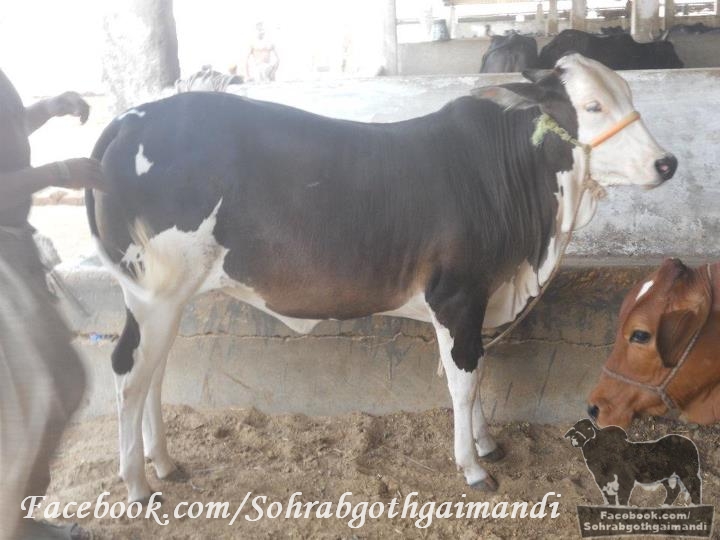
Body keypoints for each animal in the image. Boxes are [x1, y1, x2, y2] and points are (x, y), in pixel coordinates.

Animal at [86, 54, 677, 503]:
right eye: (592, 105)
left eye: (627, 92)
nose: (667, 163)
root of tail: (133, 115)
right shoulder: (456, 295)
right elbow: (464, 381)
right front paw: (473, 466)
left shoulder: (478, 300)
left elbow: (480, 372)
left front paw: (486, 443)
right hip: (154, 292)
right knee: (128, 373)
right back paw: (137, 483)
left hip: (166, 297)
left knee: (154, 373)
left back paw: (164, 462)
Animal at [565, 419, 701, 506]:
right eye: (574, 430)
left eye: (589, 429)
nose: (575, 440)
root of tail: (689, 442)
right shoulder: (601, 480)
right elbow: (609, 497)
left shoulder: (626, 479)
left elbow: (622, 498)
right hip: (667, 475)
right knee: (674, 490)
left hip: (688, 472)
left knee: (695, 485)